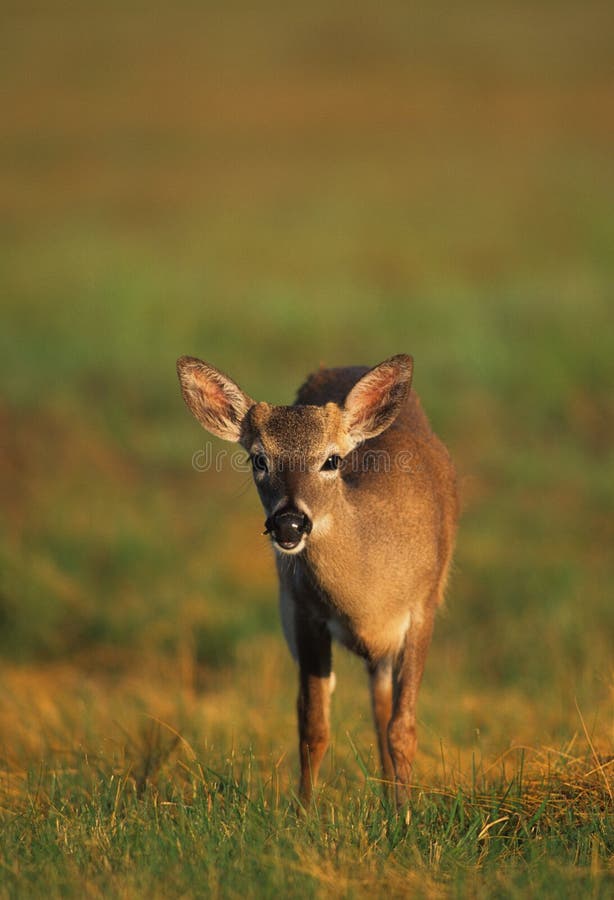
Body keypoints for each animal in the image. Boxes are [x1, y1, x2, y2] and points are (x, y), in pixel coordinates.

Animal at [177, 353, 458, 809]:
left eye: (331, 460)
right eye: (258, 459)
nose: (289, 522)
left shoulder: (422, 607)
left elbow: (404, 727)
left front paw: (405, 815)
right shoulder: (304, 613)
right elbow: (313, 726)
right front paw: (303, 813)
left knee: (384, 709)